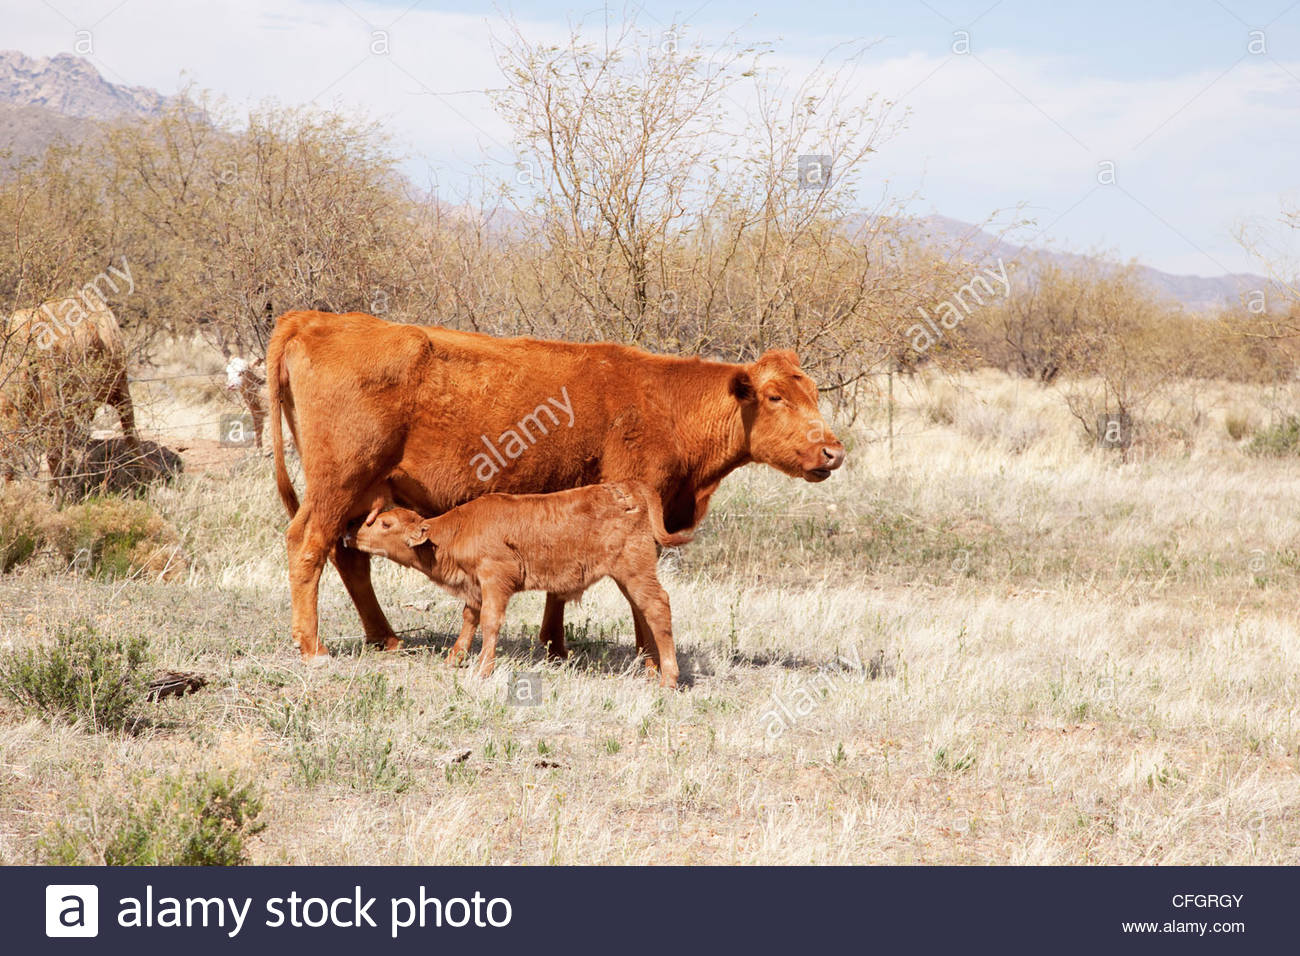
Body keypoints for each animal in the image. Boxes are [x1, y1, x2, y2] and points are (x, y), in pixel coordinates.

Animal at [267, 310, 845, 663]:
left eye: (815, 393)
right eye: (774, 397)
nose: (833, 451)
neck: (667, 403)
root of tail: (313, 319)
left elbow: (562, 580)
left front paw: (555, 645)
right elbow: (636, 591)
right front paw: (647, 655)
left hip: (362, 493)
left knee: (350, 555)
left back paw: (385, 638)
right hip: (337, 483)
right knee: (309, 545)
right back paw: (314, 648)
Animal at [344, 481, 691, 686]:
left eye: (386, 523)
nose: (351, 533)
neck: (458, 530)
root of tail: (626, 487)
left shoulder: (495, 579)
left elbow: (490, 622)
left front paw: (483, 669)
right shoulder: (475, 586)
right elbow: (469, 618)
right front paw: (454, 658)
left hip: (635, 570)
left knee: (657, 607)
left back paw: (669, 679)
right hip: (628, 576)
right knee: (643, 612)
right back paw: (652, 670)